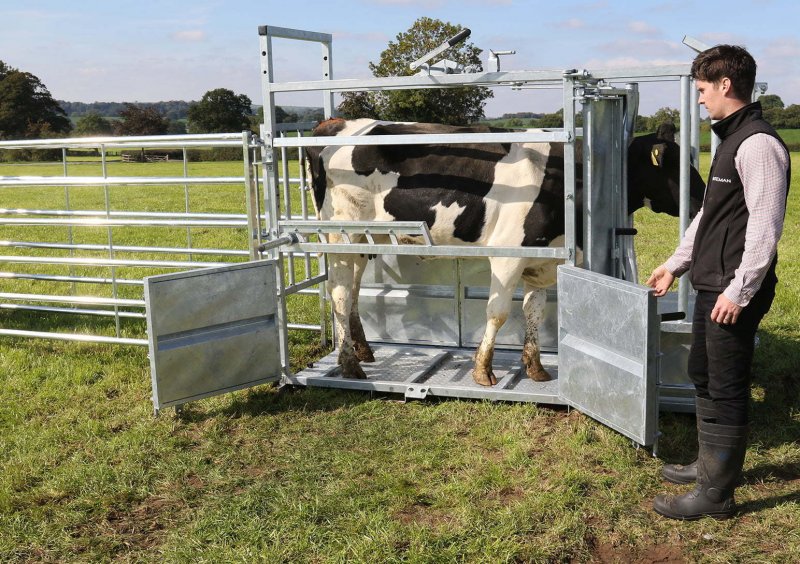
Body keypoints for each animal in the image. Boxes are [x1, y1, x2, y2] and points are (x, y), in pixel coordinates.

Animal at [304, 118, 705, 386]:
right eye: (676, 166)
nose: (702, 200)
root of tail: (338, 124)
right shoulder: (508, 255)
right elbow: (497, 313)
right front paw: (483, 370)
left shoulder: (542, 260)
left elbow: (534, 312)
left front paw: (536, 367)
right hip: (340, 235)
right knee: (339, 293)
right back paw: (350, 365)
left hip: (362, 240)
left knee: (352, 290)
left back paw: (362, 350)